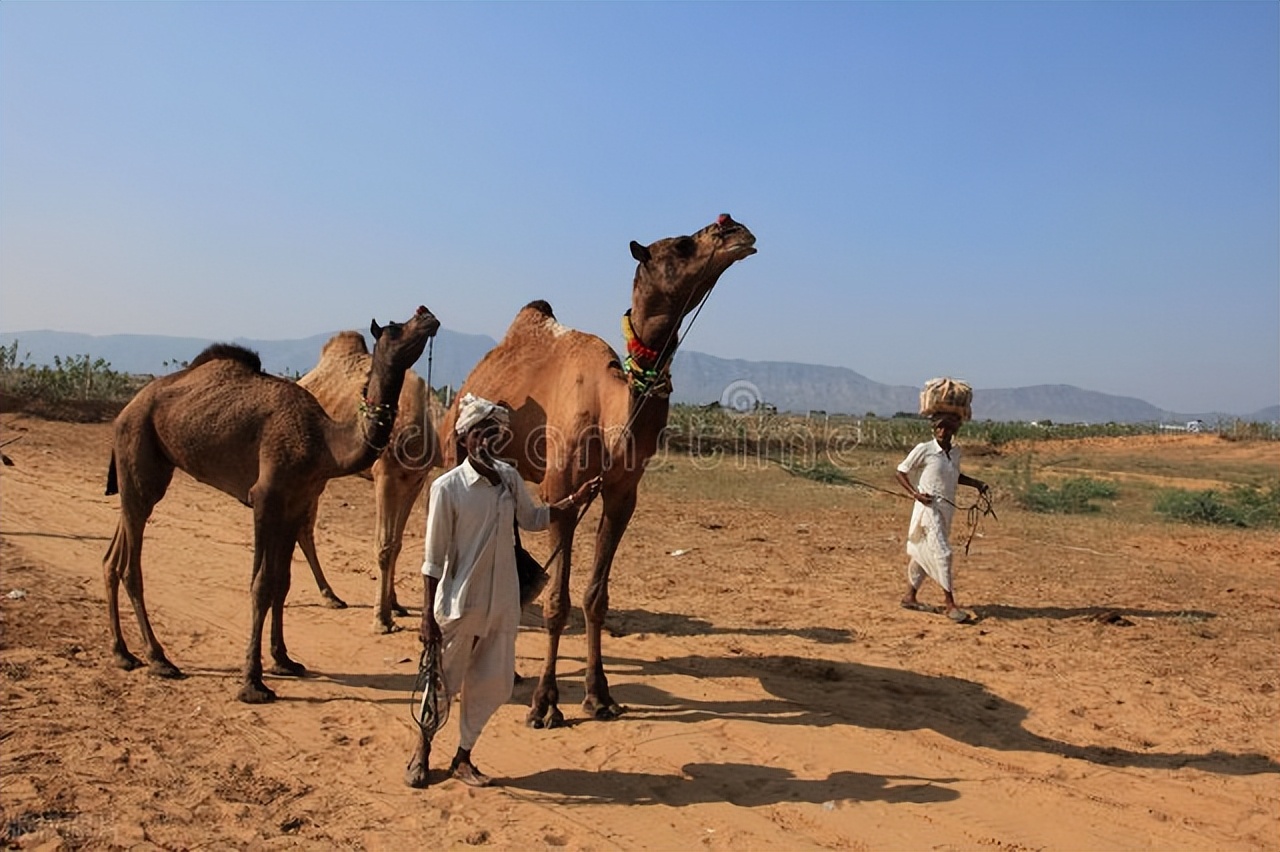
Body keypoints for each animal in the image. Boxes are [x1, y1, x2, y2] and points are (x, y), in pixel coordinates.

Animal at [296, 331, 442, 632]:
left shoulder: (415, 479)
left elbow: (397, 544)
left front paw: (395, 605)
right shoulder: (385, 475)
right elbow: (384, 545)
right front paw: (381, 618)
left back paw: (330, 595)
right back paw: (327, 595)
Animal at [439, 214, 757, 728]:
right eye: (682, 244)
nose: (736, 230)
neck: (611, 412)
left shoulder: (621, 496)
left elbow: (595, 597)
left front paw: (599, 694)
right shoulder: (561, 496)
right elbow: (557, 602)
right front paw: (545, 704)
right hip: (454, 447)